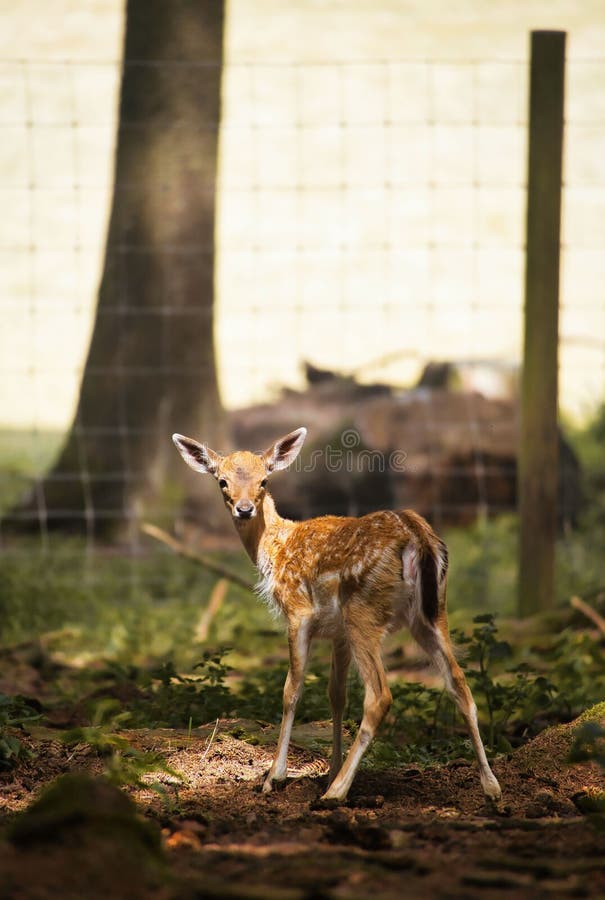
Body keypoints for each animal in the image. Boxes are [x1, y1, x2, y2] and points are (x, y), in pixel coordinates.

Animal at [172, 427, 501, 804]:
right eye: (222, 481)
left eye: (264, 480)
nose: (244, 509)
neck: (274, 548)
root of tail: (417, 535)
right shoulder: (337, 632)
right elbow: (335, 695)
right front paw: (330, 768)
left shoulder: (298, 612)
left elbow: (292, 690)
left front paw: (275, 777)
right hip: (432, 613)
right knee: (460, 684)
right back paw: (491, 787)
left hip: (365, 611)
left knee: (380, 696)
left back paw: (336, 793)